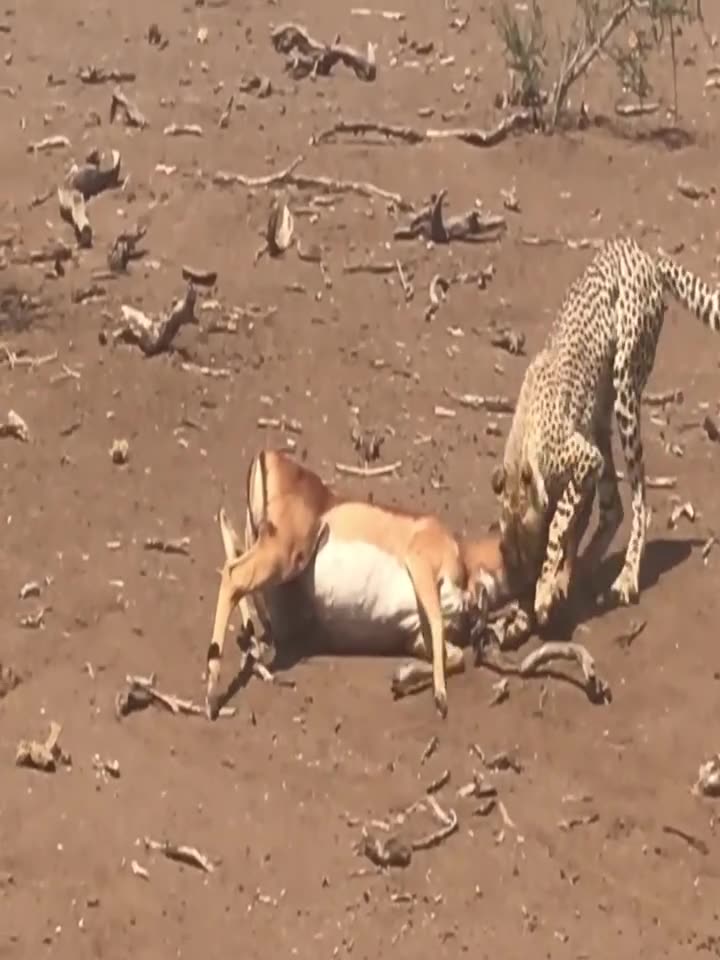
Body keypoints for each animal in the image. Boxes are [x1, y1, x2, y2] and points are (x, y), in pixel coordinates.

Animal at [205, 449, 521, 721]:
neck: (464, 555)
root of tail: (269, 455)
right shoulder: (421, 566)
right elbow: (439, 628)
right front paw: (440, 697)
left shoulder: (415, 635)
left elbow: (451, 654)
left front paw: (403, 678)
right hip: (283, 557)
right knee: (233, 575)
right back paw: (211, 695)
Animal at [490, 236, 720, 645]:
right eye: (507, 553)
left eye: (529, 549)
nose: (520, 590)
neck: (522, 462)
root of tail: (644, 253)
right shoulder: (584, 466)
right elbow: (573, 525)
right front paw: (529, 608)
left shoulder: (585, 461)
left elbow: (558, 528)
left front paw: (545, 589)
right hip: (600, 415)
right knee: (614, 508)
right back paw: (582, 572)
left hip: (625, 383)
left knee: (641, 500)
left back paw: (625, 576)